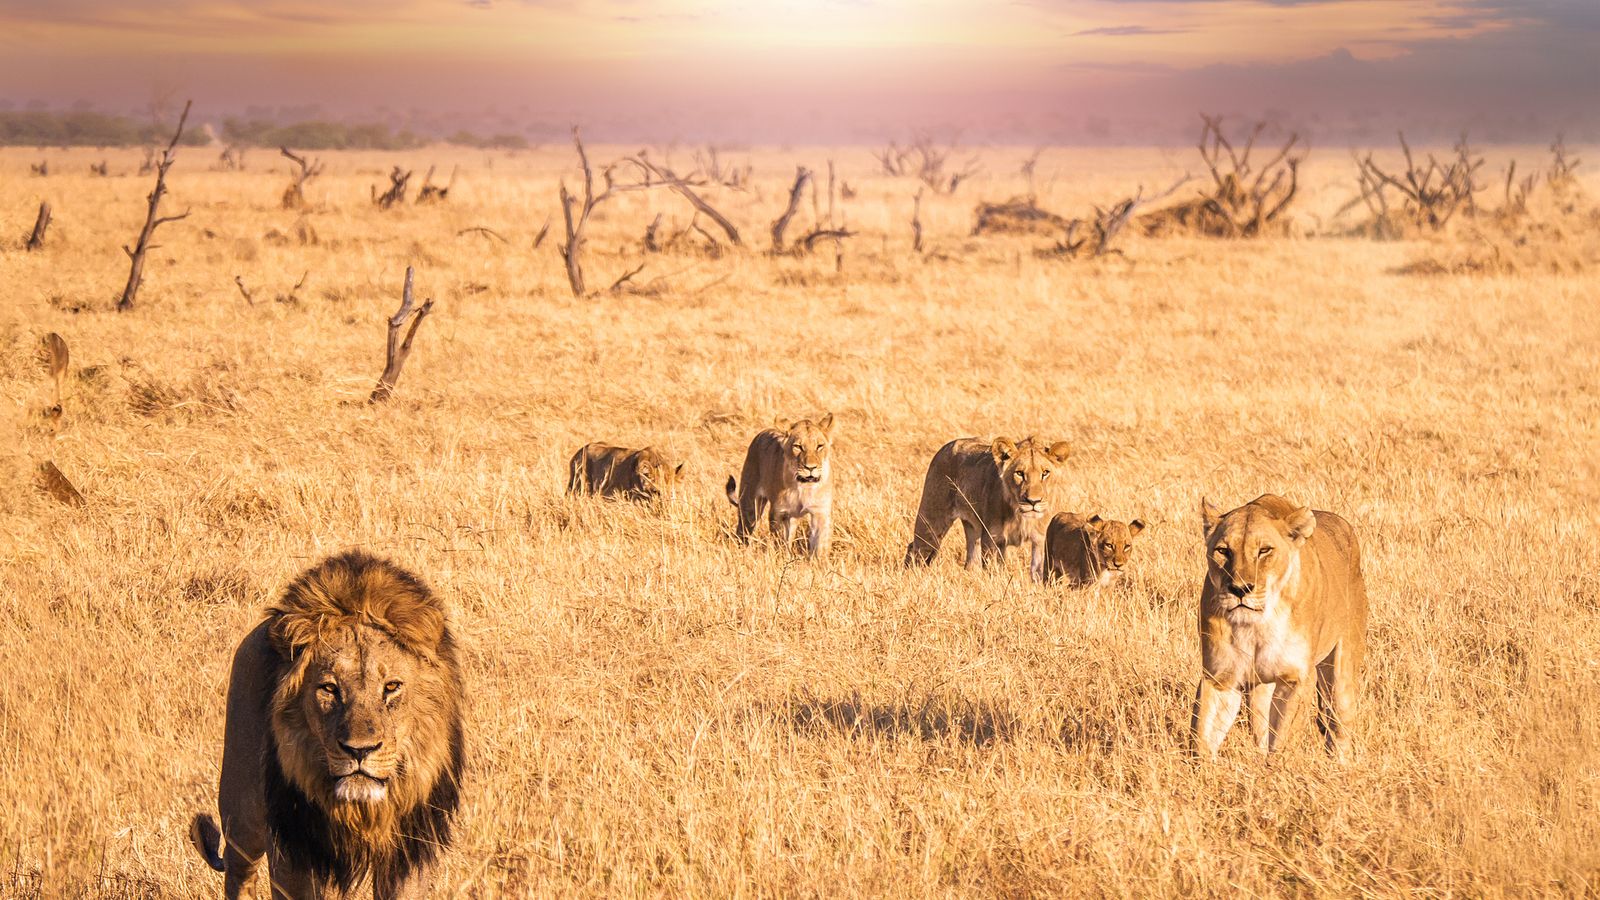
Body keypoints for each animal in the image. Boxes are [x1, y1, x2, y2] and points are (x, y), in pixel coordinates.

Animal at [189, 551, 465, 898]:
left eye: (391, 687)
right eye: (329, 688)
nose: (359, 750)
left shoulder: (408, 853)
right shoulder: (294, 851)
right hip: (241, 813)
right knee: (240, 872)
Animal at [725, 413, 835, 557]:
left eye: (819, 446)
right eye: (798, 446)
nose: (810, 468)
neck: (803, 486)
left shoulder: (820, 512)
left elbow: (821, 544)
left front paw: (819, 561)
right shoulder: (779, 512)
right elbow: (780, 542)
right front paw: (783, 558)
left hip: (792, 518)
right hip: (749, 504)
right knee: (743, 531)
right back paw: (741, 553)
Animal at [903, 436, 1071, 581]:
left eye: (1045, 473)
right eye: (1019, 473)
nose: (1033, 501)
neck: (1021, 515)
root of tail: (948, 445)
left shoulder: (1040, 539)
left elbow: (1037, 571)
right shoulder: (992, 539)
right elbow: (994, 571)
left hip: (973, 529)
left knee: (971, 561)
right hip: (932, 522)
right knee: (916, 549)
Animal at [1191, 494, 1368, 762]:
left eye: (1264, 550)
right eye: (1223, 551)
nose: (1240, 589)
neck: (1256, 626)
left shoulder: (1295, 678)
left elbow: (1282, 738)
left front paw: (1277, 769)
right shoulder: (1220, 677)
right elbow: (1202, 736)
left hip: (1341, 676)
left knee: (1339, 727)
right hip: (1261, 686)